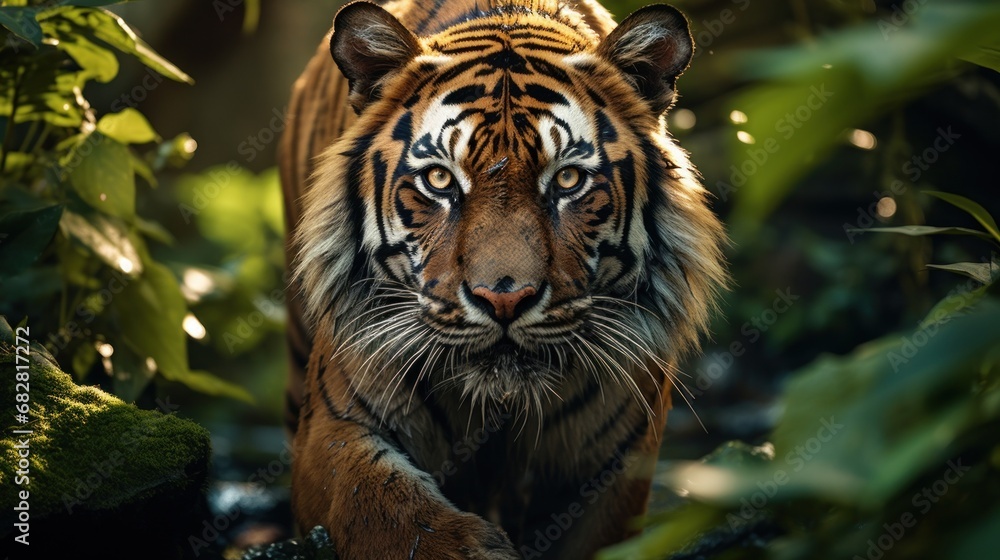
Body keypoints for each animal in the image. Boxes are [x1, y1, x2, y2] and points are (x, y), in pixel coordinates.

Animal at [278, 0, 728, 558]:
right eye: (440, 179)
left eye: (568, 180)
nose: (504, 298)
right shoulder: (333, 427)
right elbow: (388, 512)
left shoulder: (614, 468)